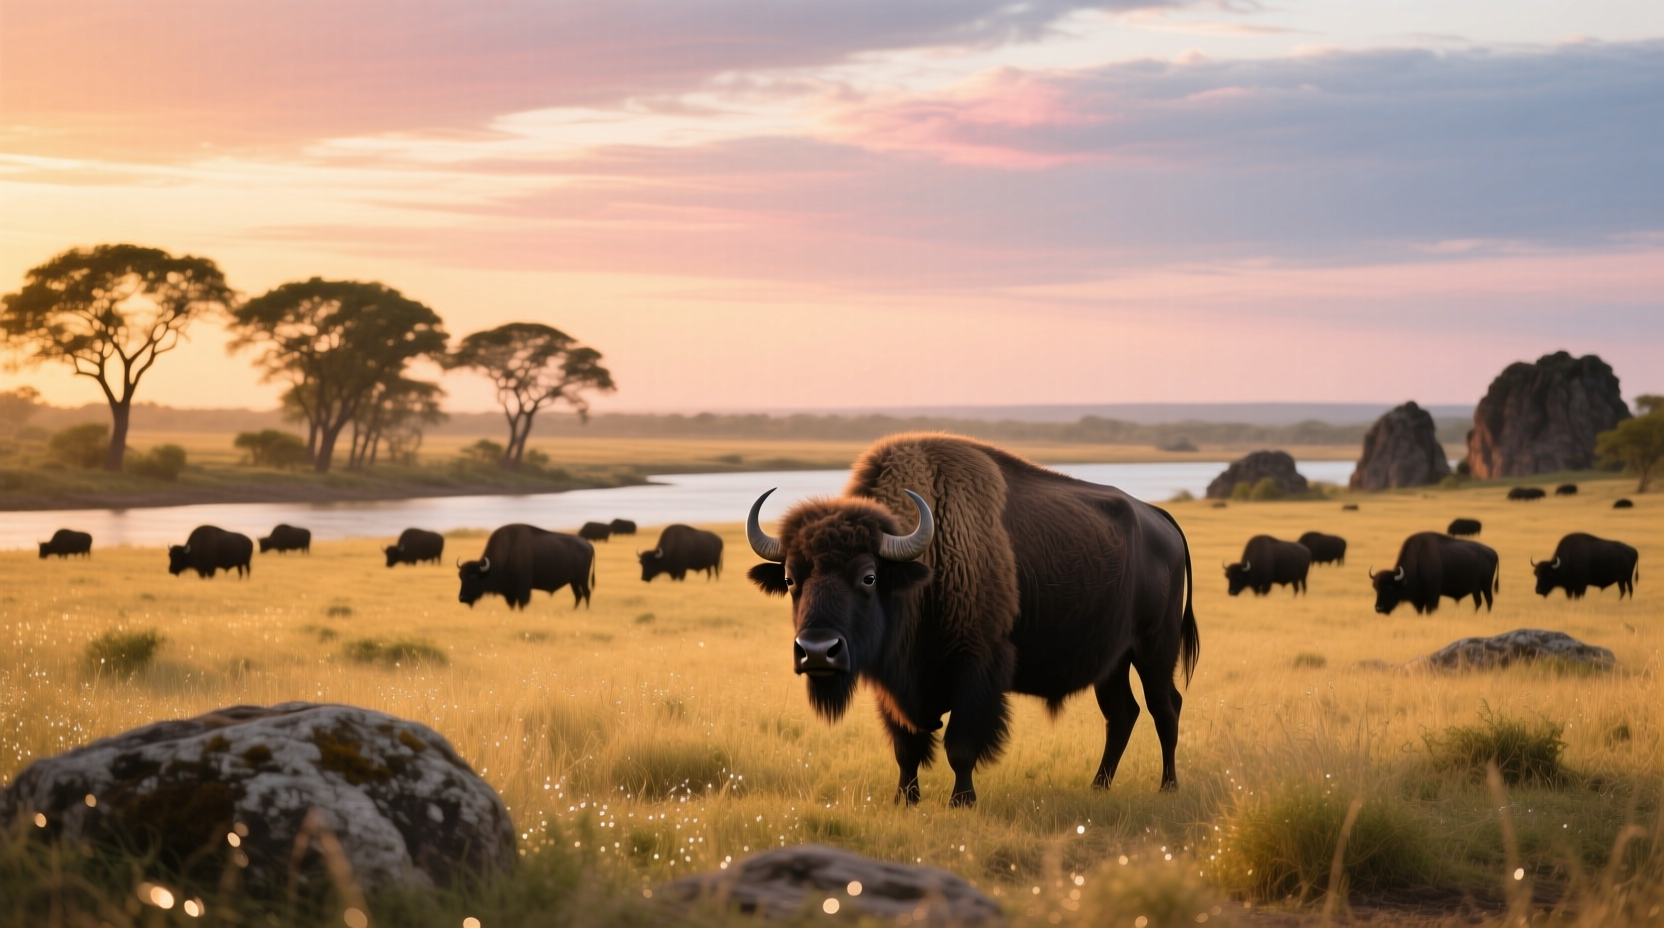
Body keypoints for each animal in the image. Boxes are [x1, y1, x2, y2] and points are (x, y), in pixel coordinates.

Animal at [457, 525, 594, 609]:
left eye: (474, 577)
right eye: (461, 578)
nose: (462, 598)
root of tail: (588, 545)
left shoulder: (523, 589)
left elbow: (522, 603)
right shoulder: (510, 593)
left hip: (582, 579)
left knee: (586, 593)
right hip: (573, 581)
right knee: (578, 595)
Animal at [746, 434, 1198, 806]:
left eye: (868, 576)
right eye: (790, 579)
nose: (817, 652)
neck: (923, 565)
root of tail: (1159, 519)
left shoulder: (975, 668)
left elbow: (960, 745)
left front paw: (962, 801)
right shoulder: (892, 683)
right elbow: (906, 747)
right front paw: (904, 799)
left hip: (1154, 651)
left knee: (1165, 707)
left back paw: (1168, 787)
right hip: (1113, 662)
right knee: (1122, 714)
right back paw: (1098, 786)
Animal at [1370, 532, 1498, 614]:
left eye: (1390, 587)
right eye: (1376, 588)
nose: (1378, 608)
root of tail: (1493, 552)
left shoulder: (1433, 596)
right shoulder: (1419, 600)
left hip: (1486, 587)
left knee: (1489, 601)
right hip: (1476, 589)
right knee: (1478, 602)